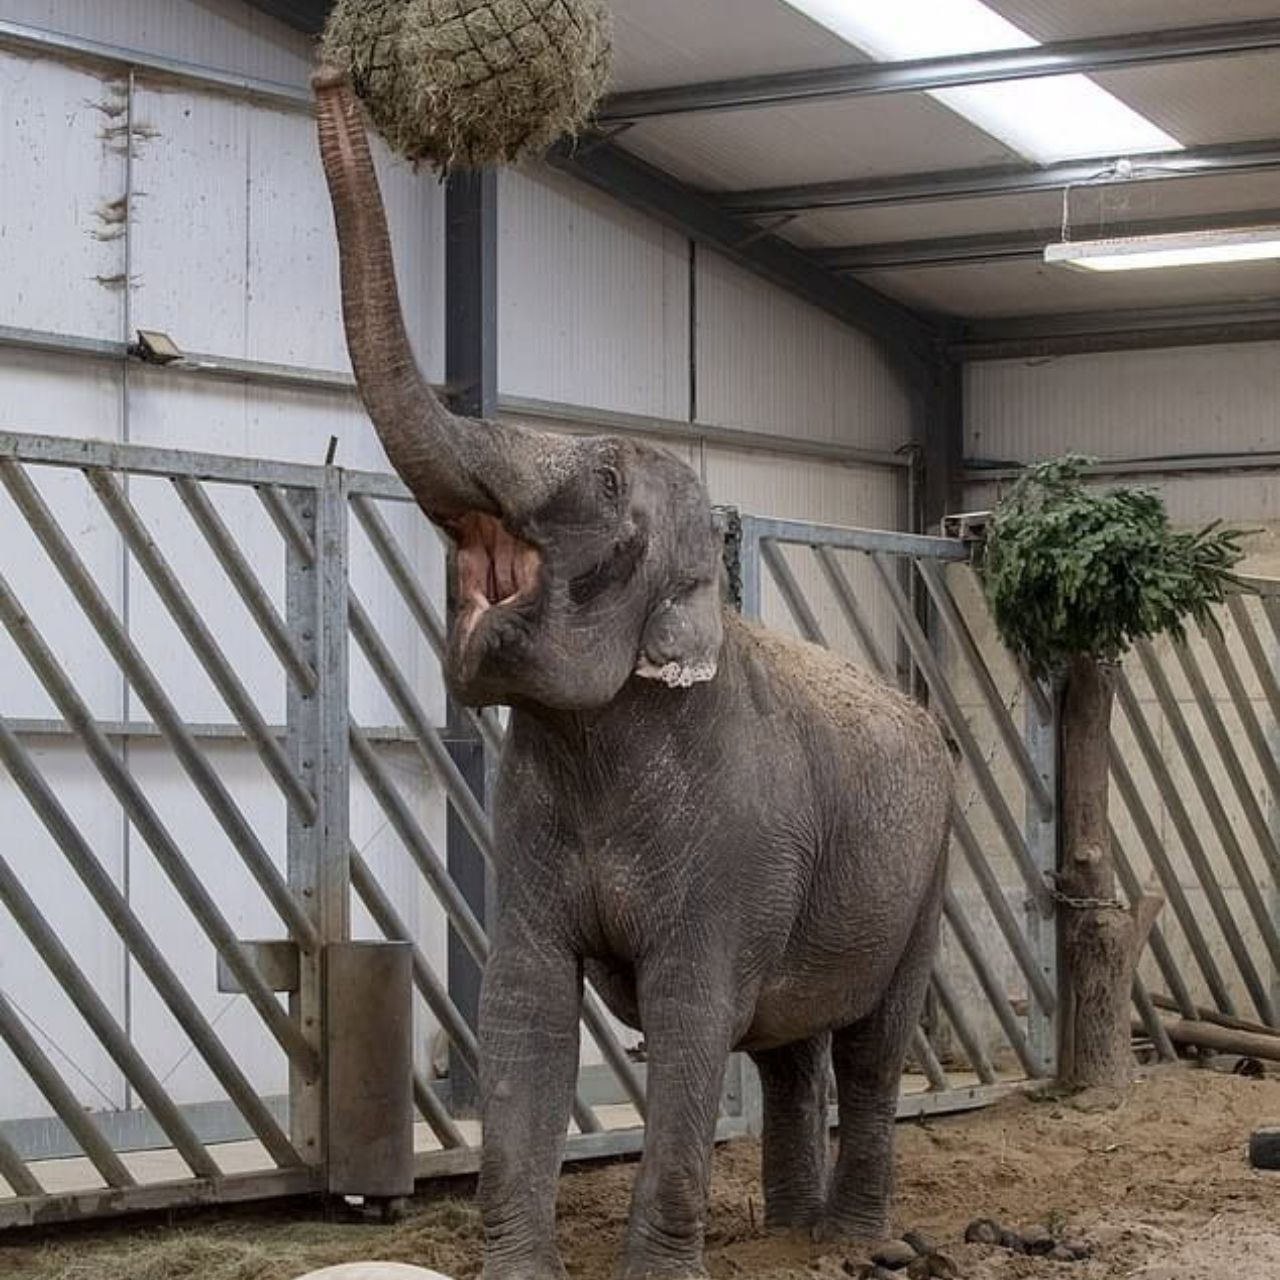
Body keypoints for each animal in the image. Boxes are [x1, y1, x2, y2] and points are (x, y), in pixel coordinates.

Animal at [313, 69, 955, 1280]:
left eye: (608, 484)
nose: (332, 76)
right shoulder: (524, 826)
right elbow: (522, 1009)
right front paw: (519, 1271)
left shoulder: (736, 849)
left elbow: (692, 1014)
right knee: (789, 1050)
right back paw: (786, 1236)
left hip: (925, 872)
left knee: (869, 1049)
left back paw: (850, 1243)